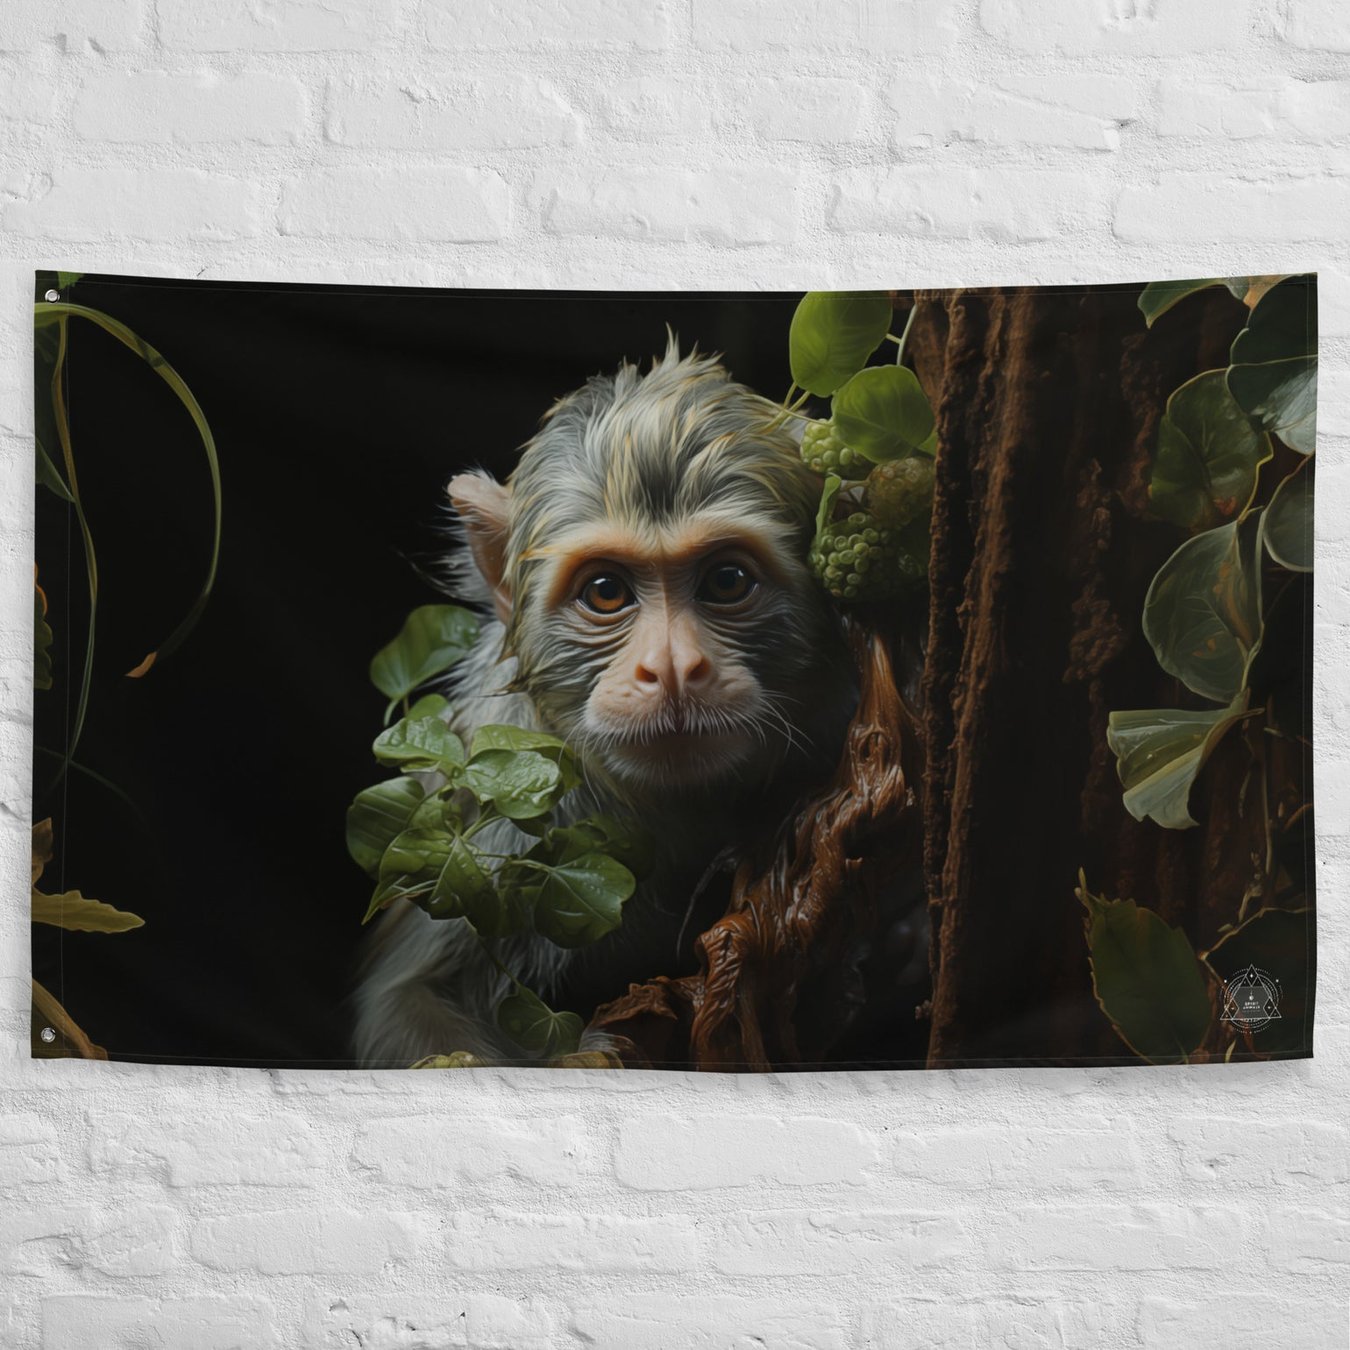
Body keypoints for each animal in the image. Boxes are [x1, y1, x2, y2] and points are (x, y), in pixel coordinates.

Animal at [352, 338, 862, 1067]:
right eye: (606, 592)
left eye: (726, 581)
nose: (671, 668)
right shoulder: (497, 807)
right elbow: (405, 997)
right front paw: (588, 1056)